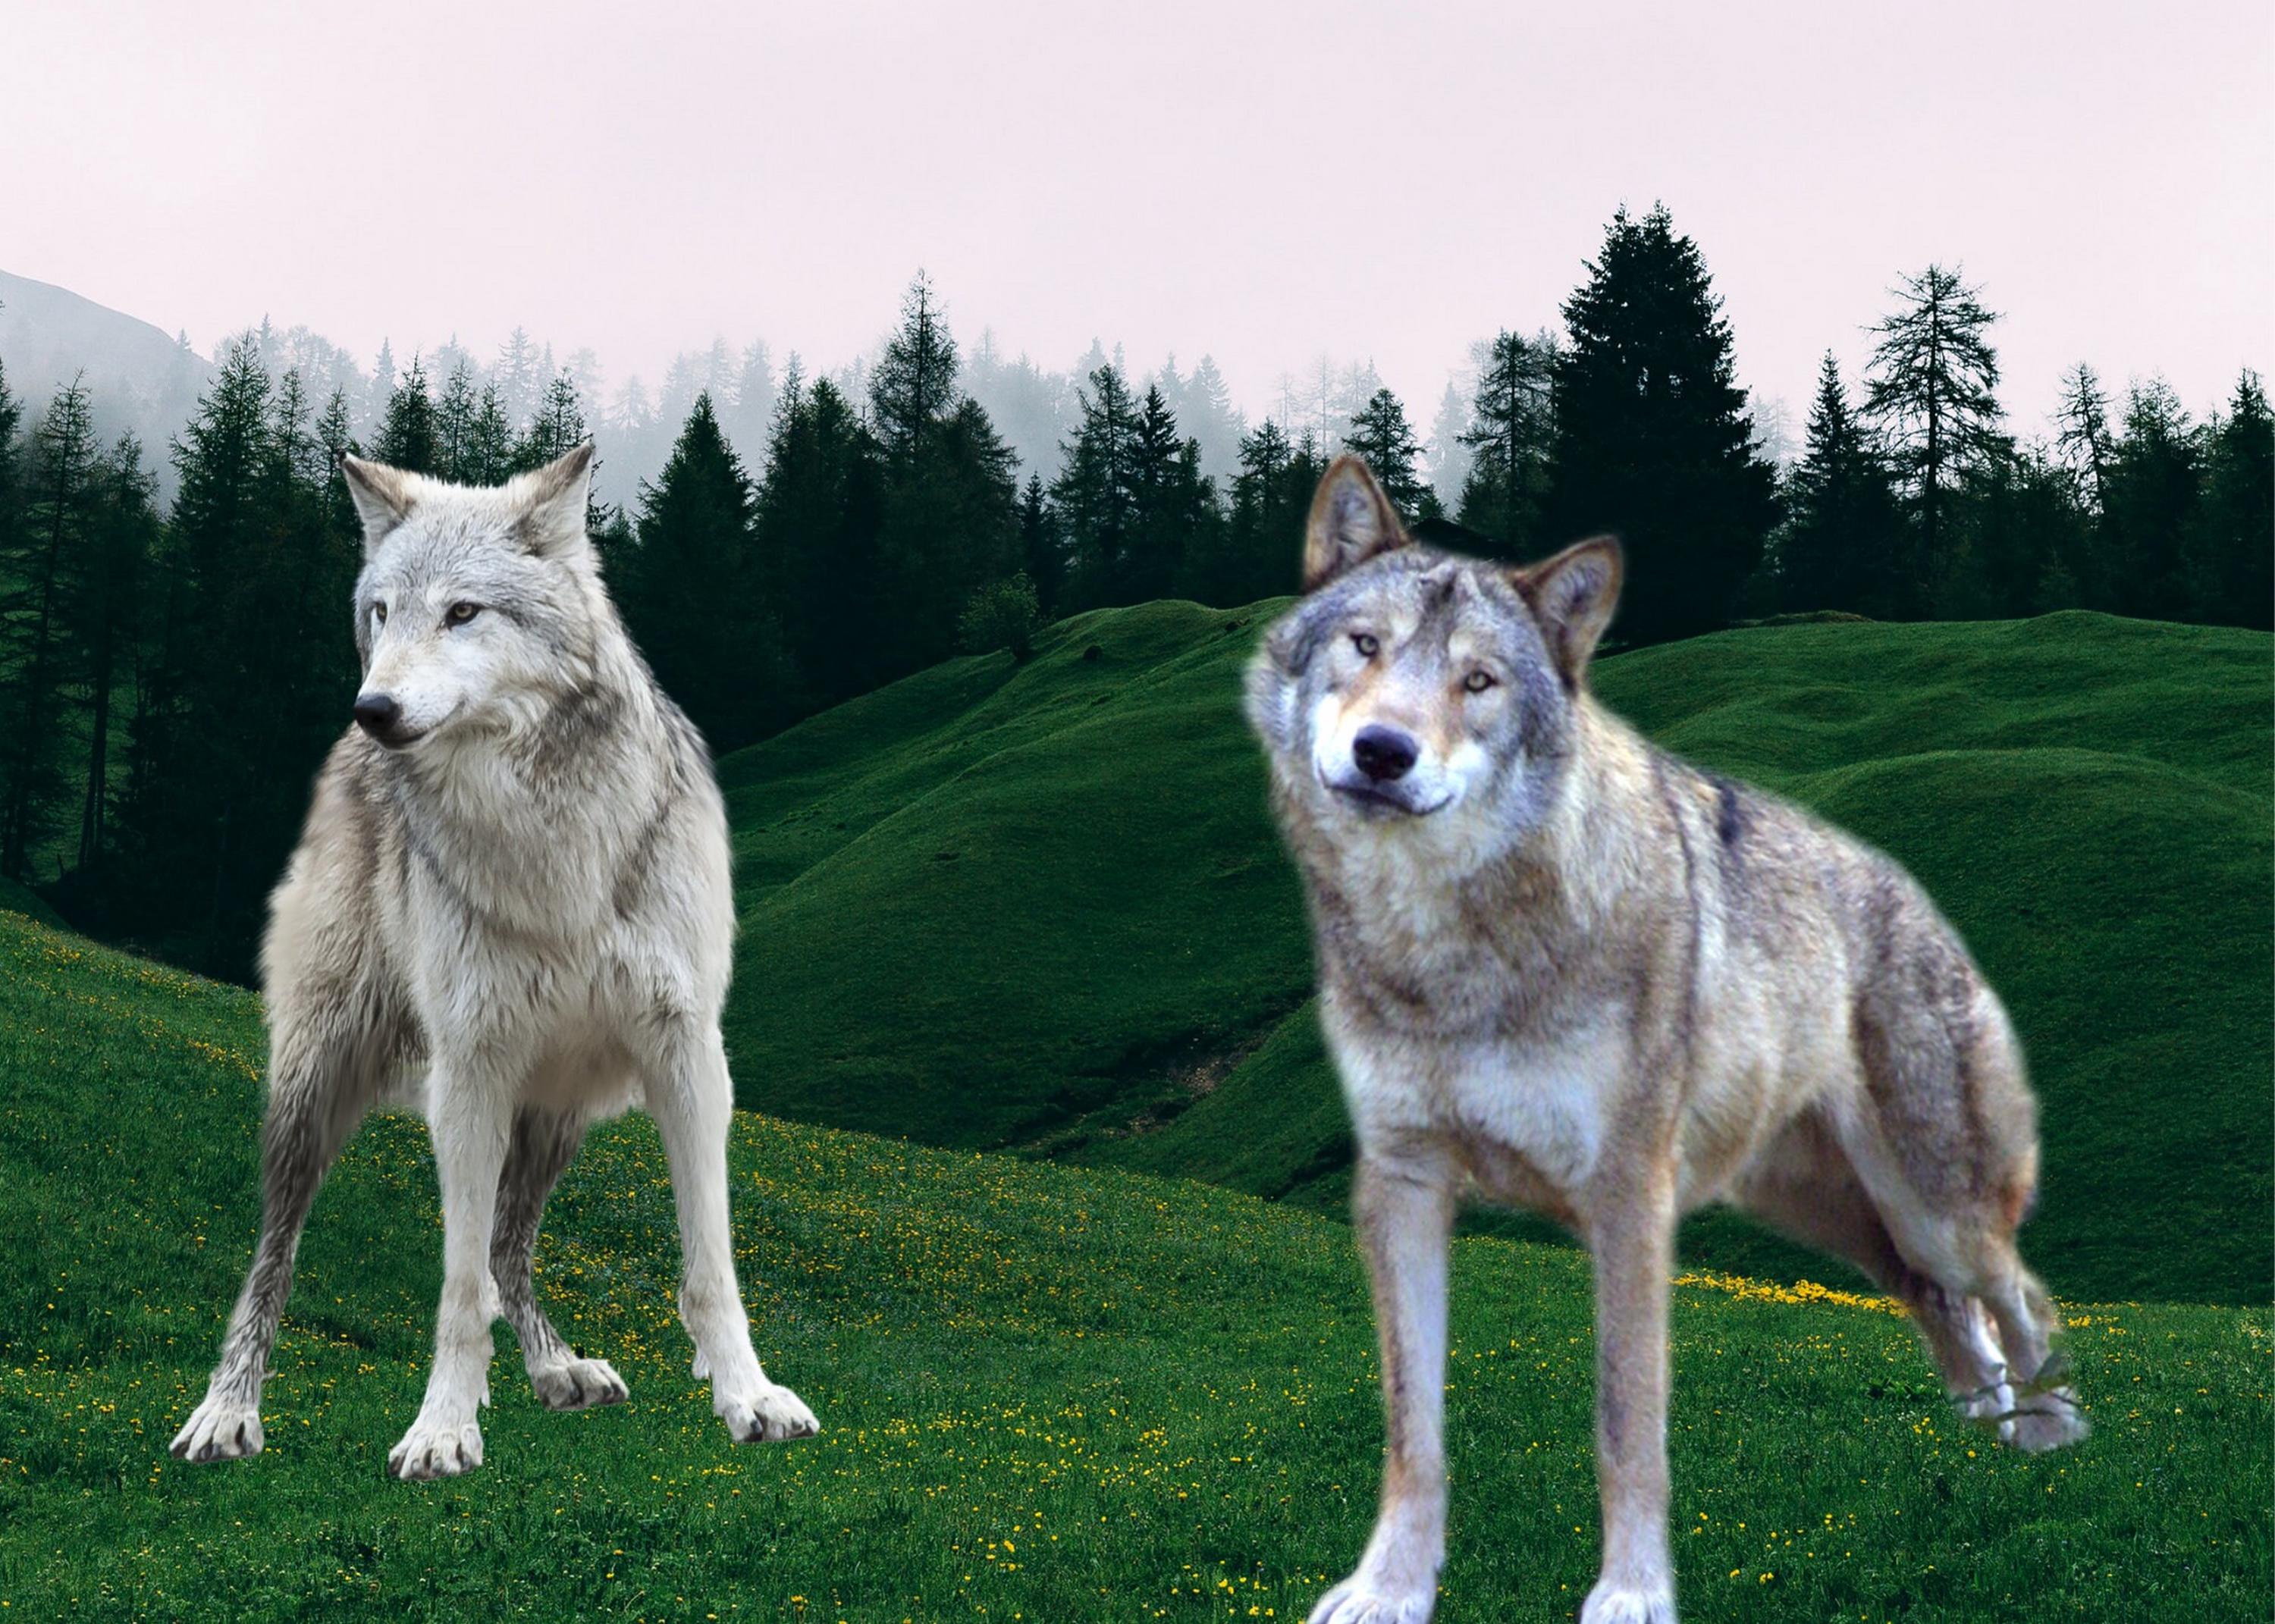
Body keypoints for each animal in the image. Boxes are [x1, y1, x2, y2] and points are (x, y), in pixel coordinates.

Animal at [168, 445, 817, 1480]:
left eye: (463, 612)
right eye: (383, 613)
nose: (374, 709)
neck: (551, 846)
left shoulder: (687, 1056)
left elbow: (708, 1265)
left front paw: (748, 1398)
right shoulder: (468, 1072)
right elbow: (457, 1288)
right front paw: (443, 1428)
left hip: (556, 1111)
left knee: (514, 1245)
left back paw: (557, 1369)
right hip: (316, 1088)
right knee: (275, 1256)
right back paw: (228, 1412)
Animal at [1247, 458, 2085, 1624]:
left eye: (1478, 682)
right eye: (1364, 645)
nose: (1382, 752)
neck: (1452, 949)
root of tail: (1917, 894)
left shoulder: (1628, 1201)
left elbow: (1625, 1425)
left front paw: (1633, 1594)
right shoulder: (1403, 1183)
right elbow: (1414, 1429)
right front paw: (1390, 1588)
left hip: (1934, 1210)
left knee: (2021, 1296)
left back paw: (2053, 1437)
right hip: (1845, 1226)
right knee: (1951, 1316)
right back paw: (1976, 1444)